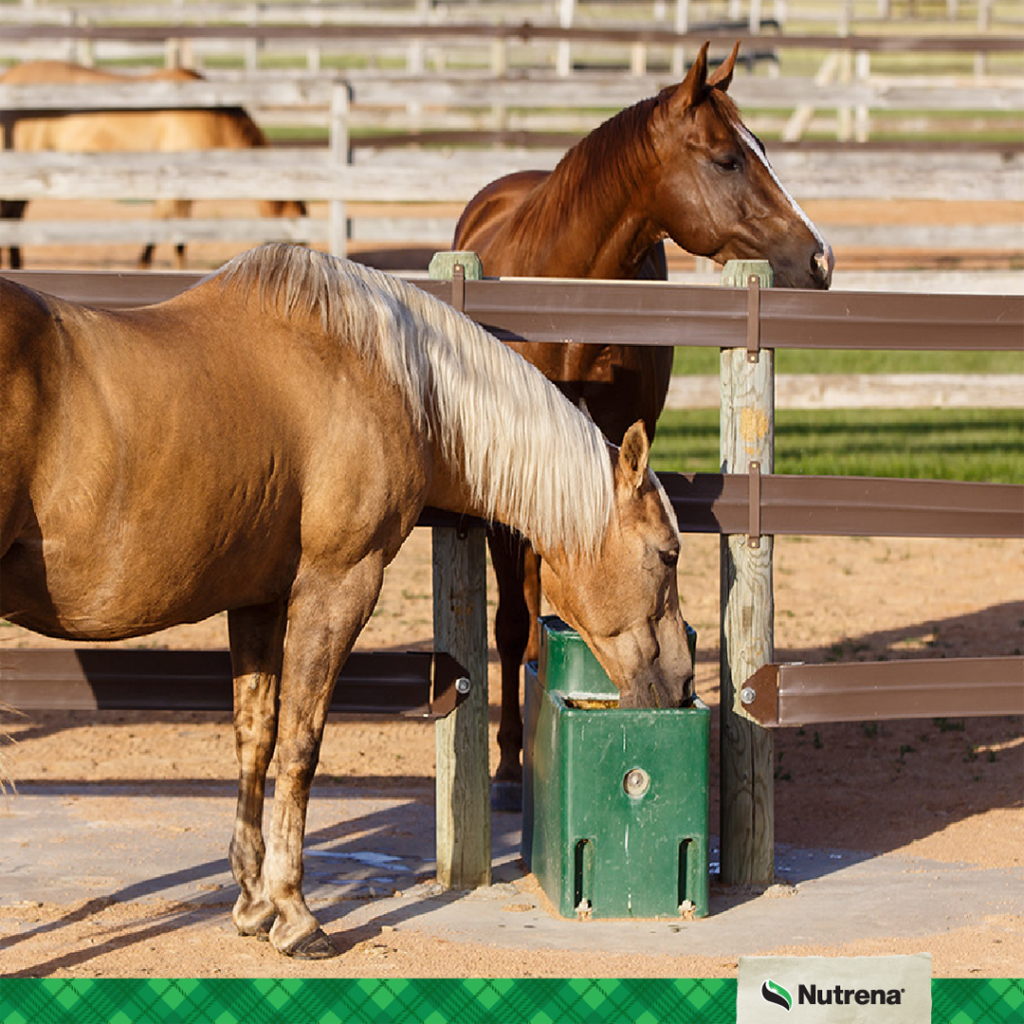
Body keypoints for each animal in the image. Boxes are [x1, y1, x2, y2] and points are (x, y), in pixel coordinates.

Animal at [0, 242, 694, 958]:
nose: (681, 680)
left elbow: (256, 736)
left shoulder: (257, 600)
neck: (392, 378)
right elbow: (301, 744)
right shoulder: (337, 587)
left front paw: (253, 903)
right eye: (668, 554)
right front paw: (296, 914)